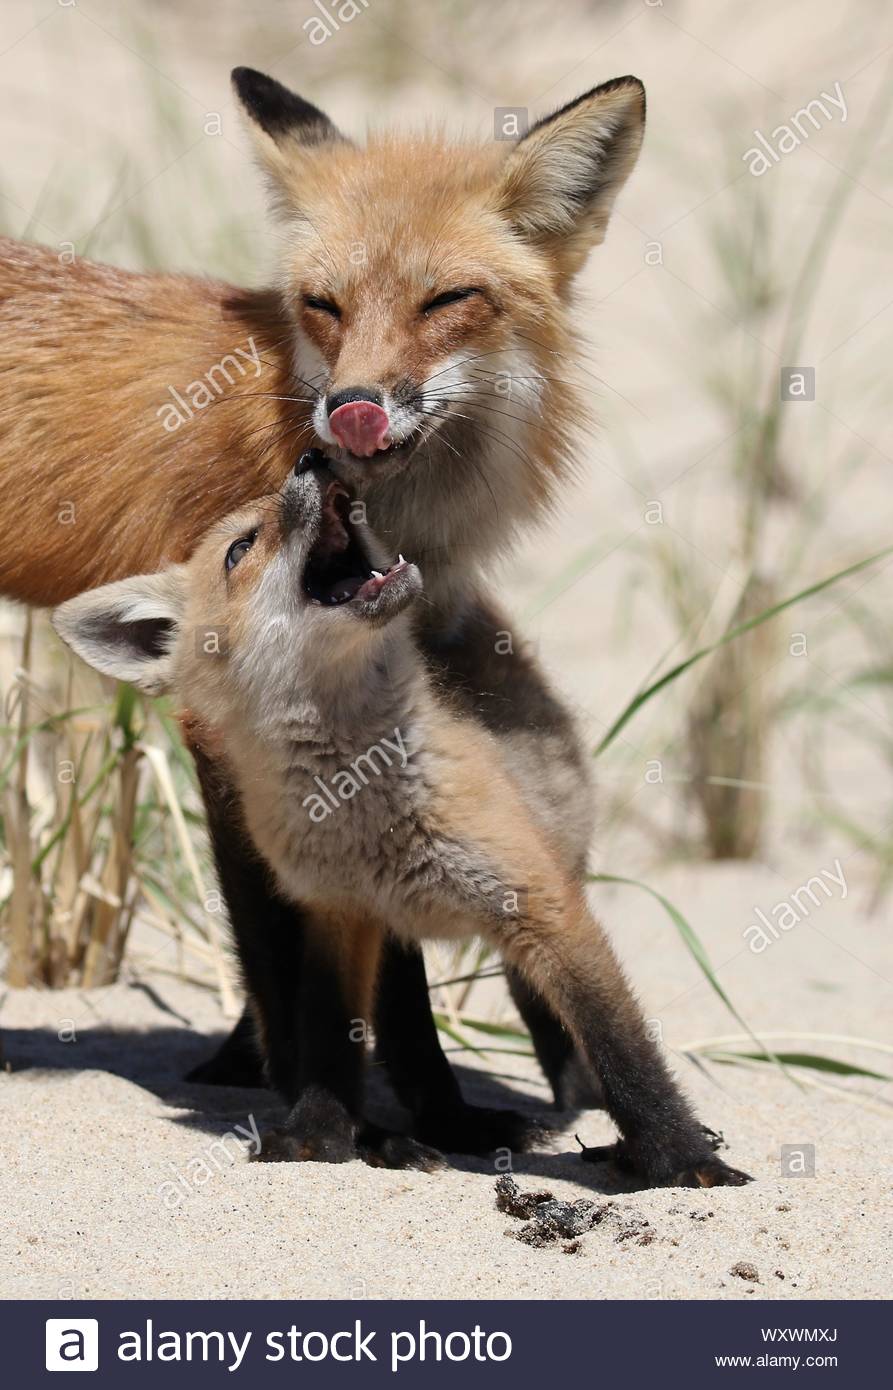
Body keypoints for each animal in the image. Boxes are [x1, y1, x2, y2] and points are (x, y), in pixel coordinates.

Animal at [0, 67, 649, 1152]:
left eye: (447, 300)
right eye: (324, 304)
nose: (349, 412)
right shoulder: (217, 707)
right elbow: (309, 938)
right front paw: (343, 1101)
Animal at [52, 458, 752, 1189]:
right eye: (240, 549)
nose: (311, 460)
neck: (370, 811)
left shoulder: (541, 905)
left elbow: (624, 1050)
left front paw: (682, 1159)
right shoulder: (341, 913)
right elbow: (330, 1039)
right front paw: (320, 1134)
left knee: (540, 1017)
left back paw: (542, 1108)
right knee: (384, 1040)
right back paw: (420, 1131)